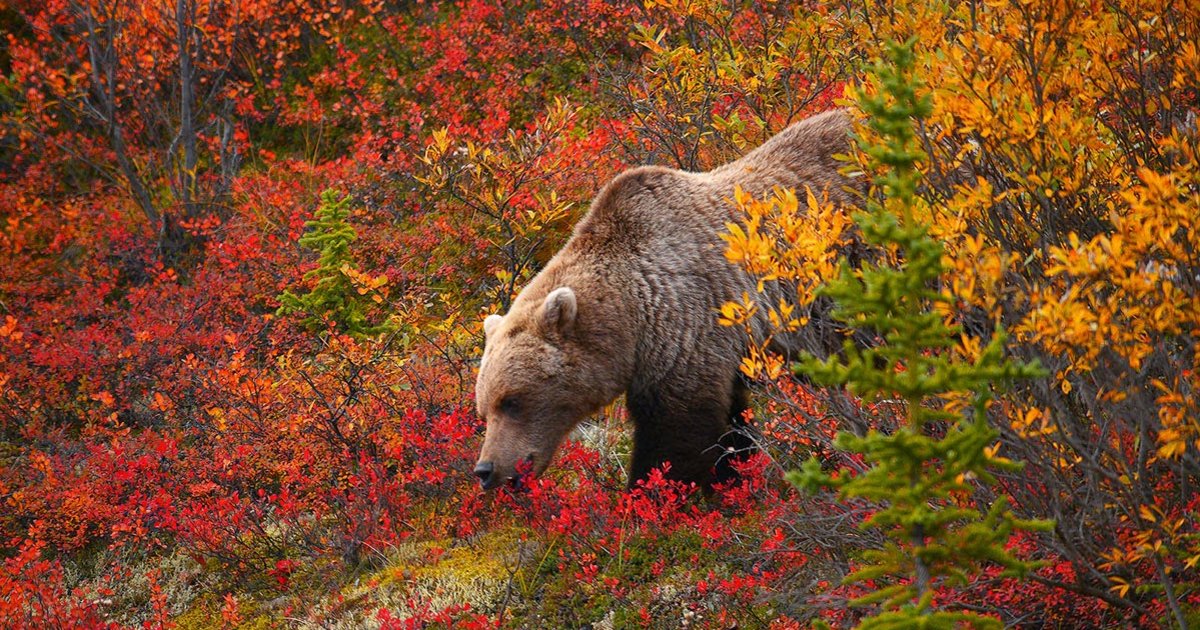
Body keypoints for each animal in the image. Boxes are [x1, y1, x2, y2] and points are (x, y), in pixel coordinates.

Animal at [473, 109, 860, 491]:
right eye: (483, 408)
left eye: (512, 400)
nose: (486, 469)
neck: (631, 315)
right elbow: (732, 429)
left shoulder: (686, 326)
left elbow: (676, 436)